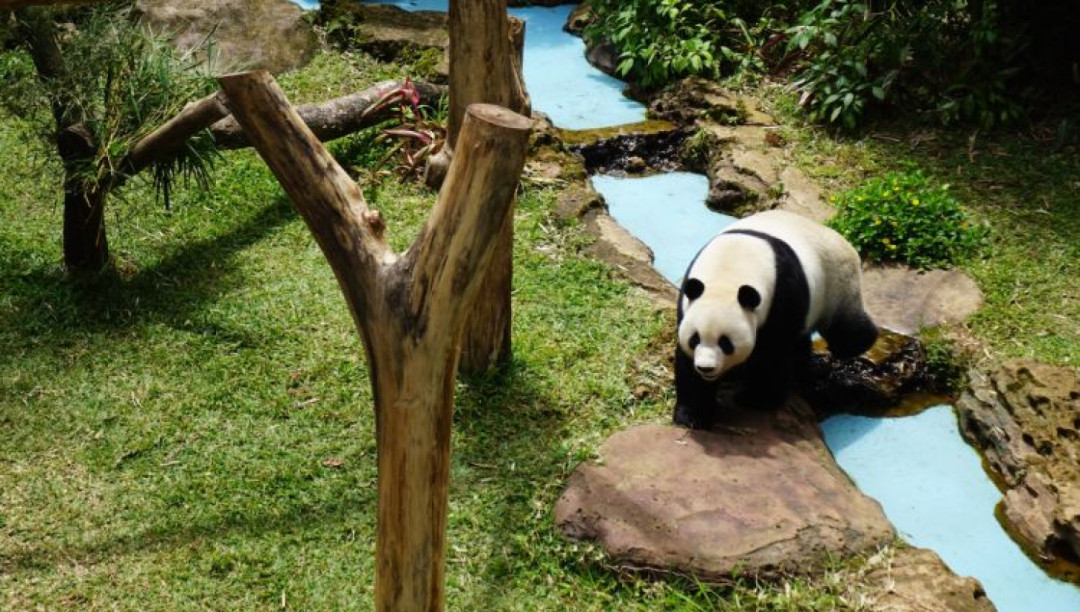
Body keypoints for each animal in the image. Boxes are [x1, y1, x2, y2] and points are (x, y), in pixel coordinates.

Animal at [674, 209, 877, 430]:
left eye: (725, 343)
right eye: (695, 339)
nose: (706, 368)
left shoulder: (783, 294)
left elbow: (774, 351)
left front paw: (756, 399)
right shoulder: (688, 301)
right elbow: (687, 364)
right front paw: (692, 416)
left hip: (837, 286)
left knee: (845, 330)